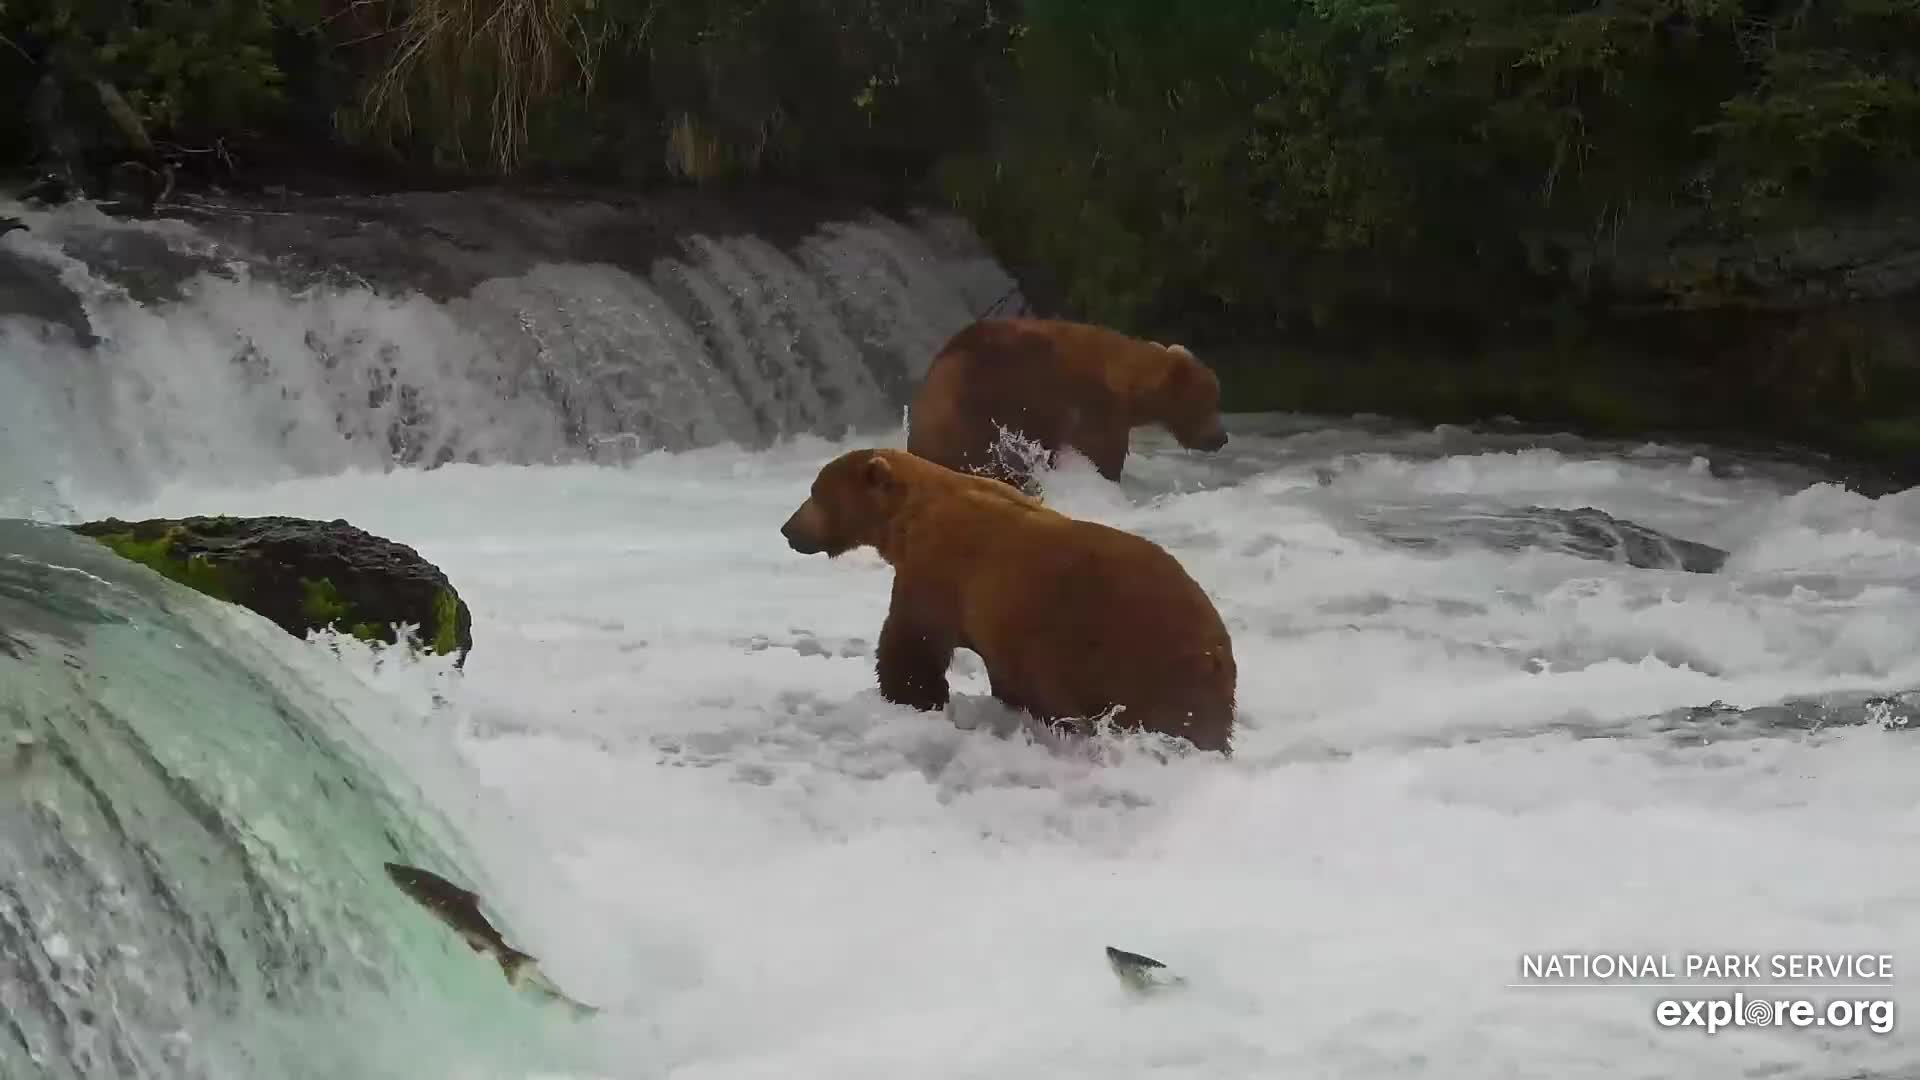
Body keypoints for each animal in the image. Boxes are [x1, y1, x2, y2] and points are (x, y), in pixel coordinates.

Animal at [779, 447, 1238, 753]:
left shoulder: (938, 574)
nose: (788, 529)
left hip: (1137, 658)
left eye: (815, 492)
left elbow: (913, 642)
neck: (907, 521)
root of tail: (1215, 647)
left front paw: (910, 695)